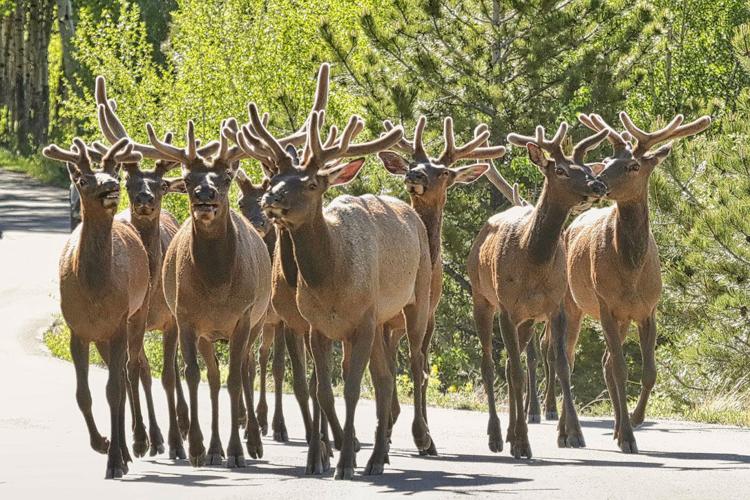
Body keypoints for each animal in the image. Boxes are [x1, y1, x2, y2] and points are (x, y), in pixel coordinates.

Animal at [43, 137, 149, 479]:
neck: (94, 292)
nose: (112, 186)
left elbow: (113, 391)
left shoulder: (117, 322)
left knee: (132, 370)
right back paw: (125, 449)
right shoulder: (77, 330)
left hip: (137, 315)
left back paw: (137, 443)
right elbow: (83, 395)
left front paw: (113, 461)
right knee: (122, 376)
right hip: (103, 336)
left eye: (112, 173)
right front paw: (102, 443)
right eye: (83, 180)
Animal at [247, 100, 431, 479]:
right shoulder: (317, 326)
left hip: (415, 301)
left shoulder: (361, 320)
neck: (330, 282)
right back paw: (378, 457)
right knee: (386, 379)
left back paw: (412, 444)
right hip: (380, 321)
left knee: (414, 364)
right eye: (275, 178)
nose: (271, 198)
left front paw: (345, 461)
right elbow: (321, 391)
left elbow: (351, 389)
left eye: (312, 183)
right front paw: (316, 459)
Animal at [376, 116, 504, 454]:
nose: (415, 174)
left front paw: (419, 434)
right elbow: (407, 366)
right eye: (411, 162)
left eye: (444, 171)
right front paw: (418, 434)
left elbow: (418, 366)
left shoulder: (428, 314)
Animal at [467, 122, 609, 458]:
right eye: (559, 169)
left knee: (509, 364)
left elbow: (562, 365)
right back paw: (496, 436)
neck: (532, 259)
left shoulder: (555, 306)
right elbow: (518, 373)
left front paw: (573, 434)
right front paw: (522, 442)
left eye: (587, 167)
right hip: (482, 299)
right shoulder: (507, 308)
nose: (597, 184)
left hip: (528, 320)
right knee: (490, 364)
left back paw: (509, 432)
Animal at [562, 111, 711, 453]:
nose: (600, 184)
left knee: (602, 362)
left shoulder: (648, 308)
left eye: (633, 166)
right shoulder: (605, 304)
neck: (631, 271)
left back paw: (615, 427)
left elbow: (648, 372)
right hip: (572, 303)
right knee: (568, 358)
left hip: (623, 318)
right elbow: (620, 369)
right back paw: (569, 433)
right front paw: (629, 437)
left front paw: (636, 419)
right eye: (606, 159)